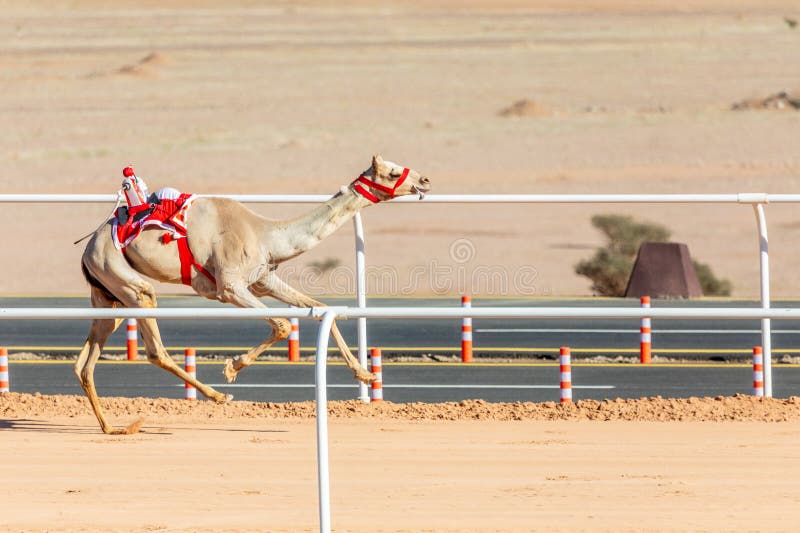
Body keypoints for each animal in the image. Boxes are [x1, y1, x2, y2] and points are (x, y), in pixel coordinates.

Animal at [78, 155, 431, 434]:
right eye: (391, 172)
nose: (424, 180)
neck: (266, 235)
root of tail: (87, 247)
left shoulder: (263, 280)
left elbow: (320, 308)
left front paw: (367, 373)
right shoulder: (229, 287)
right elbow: (283, 326)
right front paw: (233, 367)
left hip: (108, 295)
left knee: (85, 362)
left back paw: (112, 428)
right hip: (126, 280)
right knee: (154, 347)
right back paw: (218, 395)